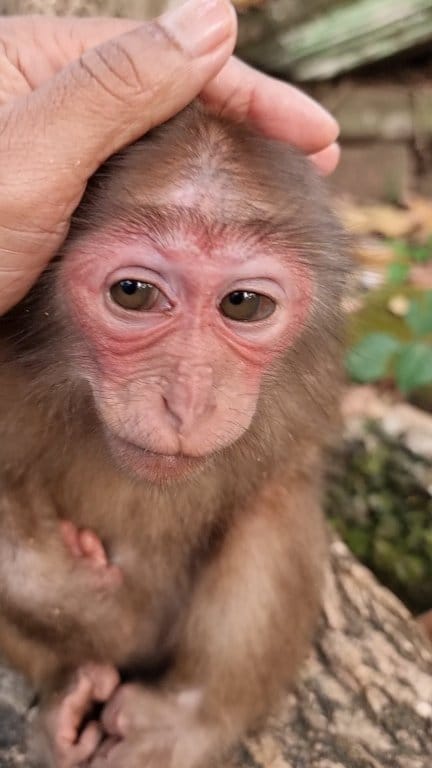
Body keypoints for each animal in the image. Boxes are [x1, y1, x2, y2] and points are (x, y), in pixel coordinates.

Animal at [0, 101, 349, 768]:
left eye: (243, 305)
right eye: (133, 293)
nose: (186, 403)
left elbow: (277, 492)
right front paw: (81, 597)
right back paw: (67, 689)